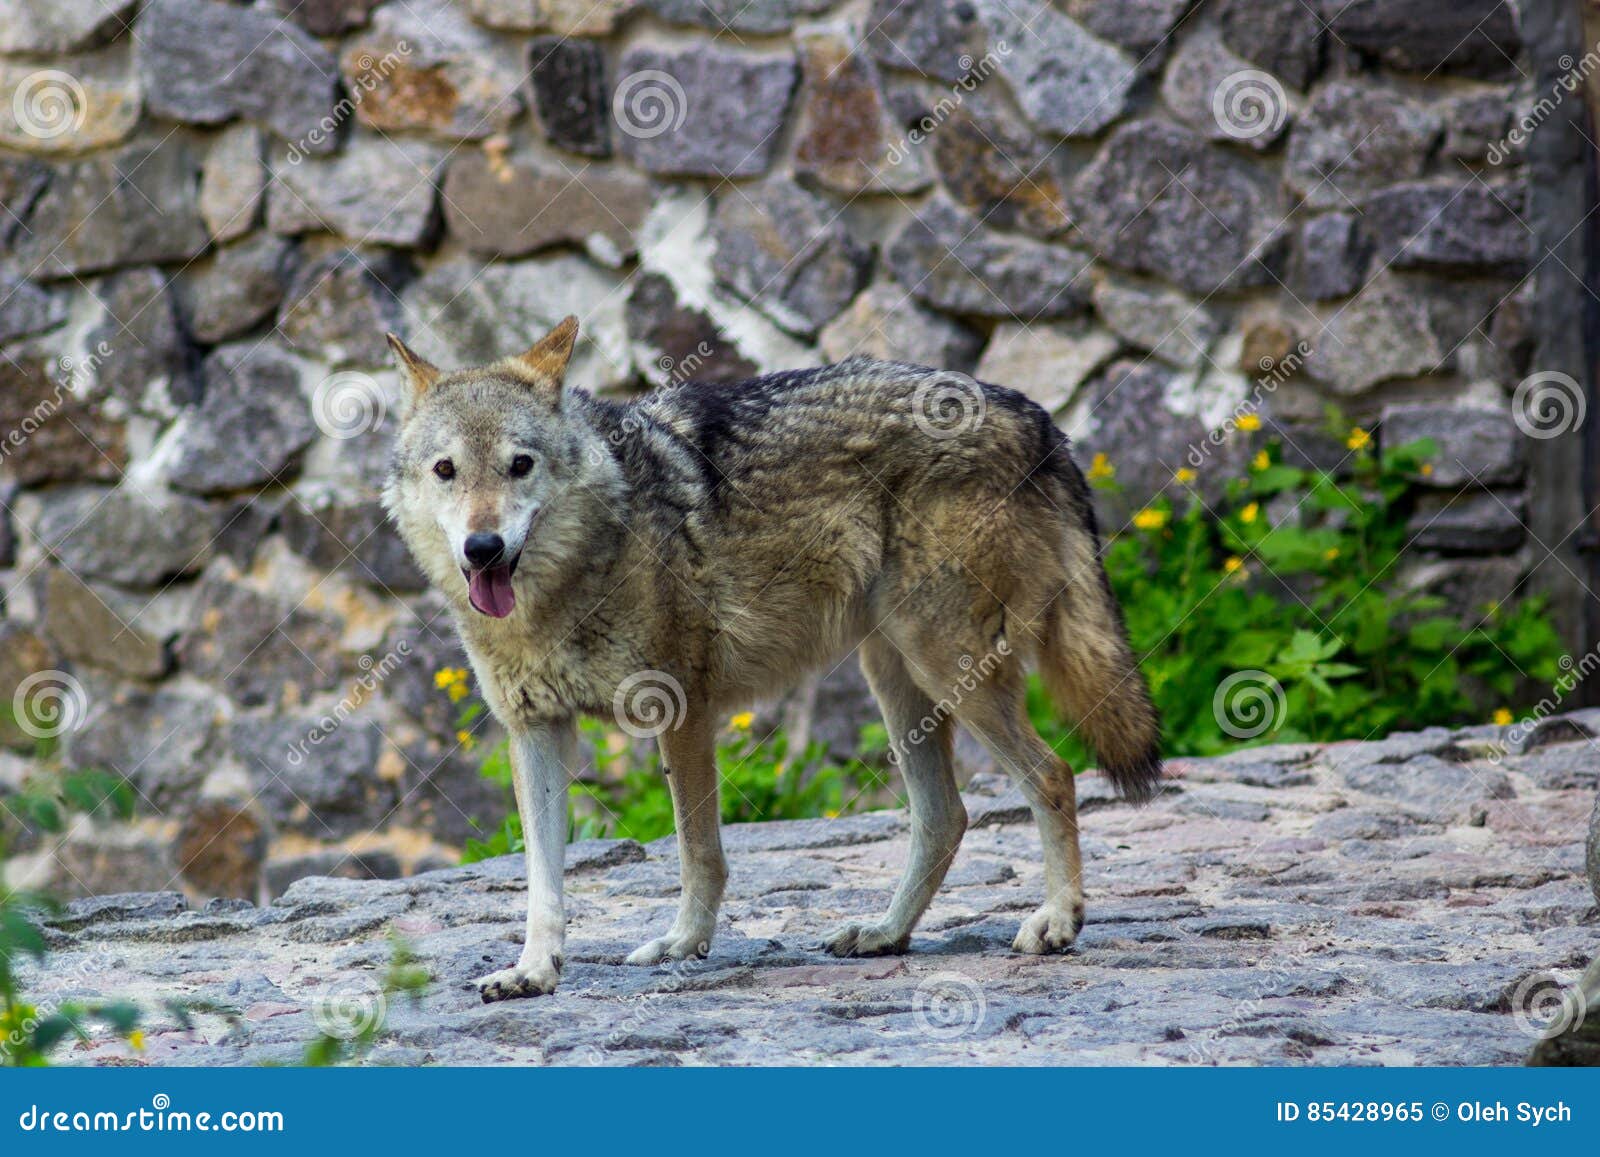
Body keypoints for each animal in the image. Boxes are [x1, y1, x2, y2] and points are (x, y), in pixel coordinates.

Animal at [382, 317, 1161, 1001]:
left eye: (520, 465)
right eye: (446, 470)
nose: (483, 548)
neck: (577, 573)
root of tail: (1035, 414)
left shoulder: (681, 710)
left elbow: (698, 852)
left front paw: (684, 944)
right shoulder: (536, 731)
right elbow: (542, 880)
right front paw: (533, 971)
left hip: (945, 666)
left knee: (1053, 775)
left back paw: (1056, 922)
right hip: (896, 677)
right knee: (946, 817)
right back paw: (885, 933)